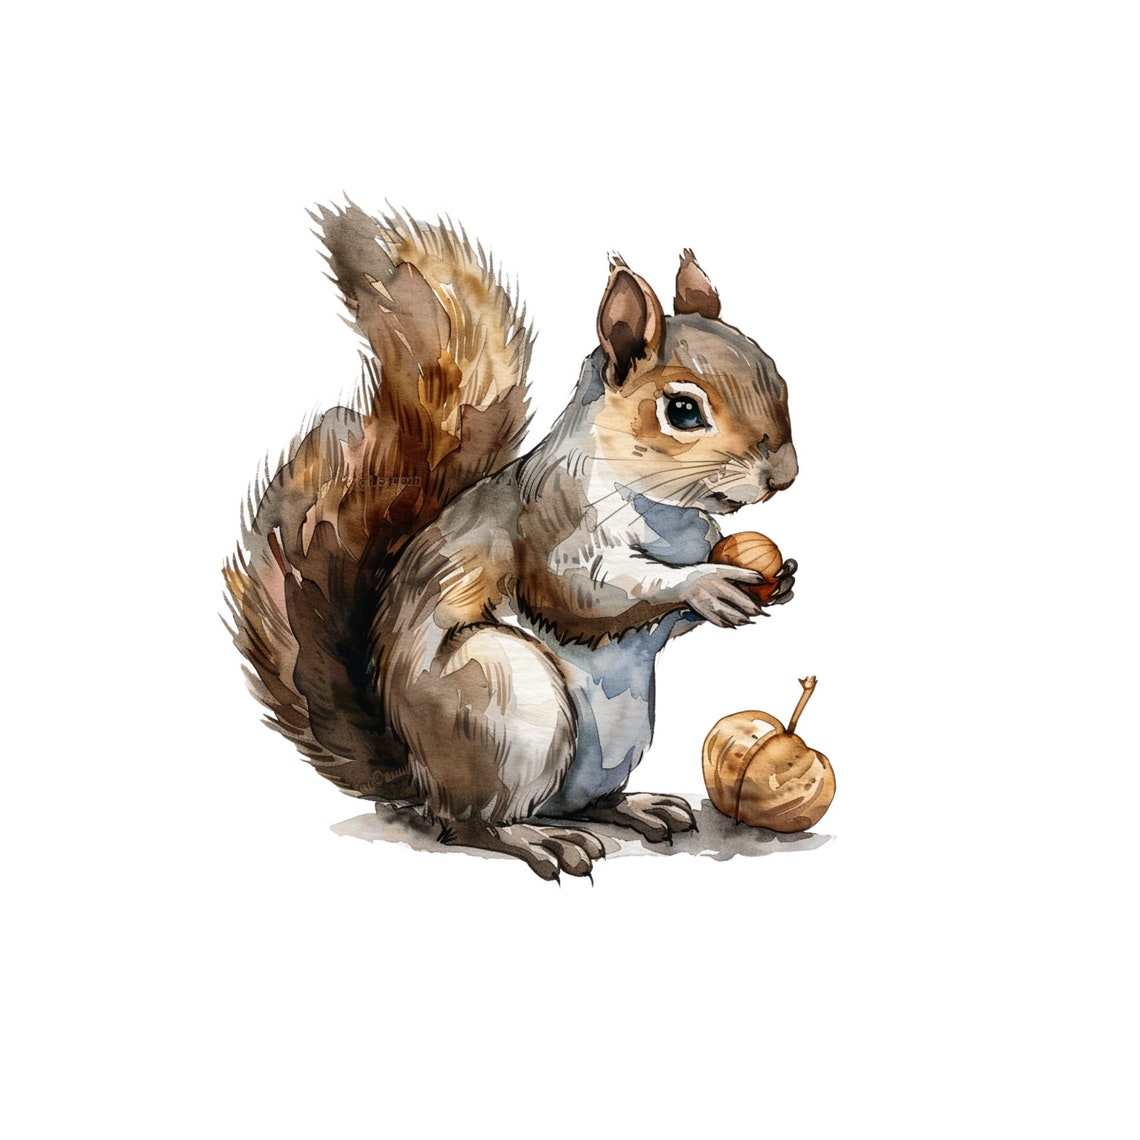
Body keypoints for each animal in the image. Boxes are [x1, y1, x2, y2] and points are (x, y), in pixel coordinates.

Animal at [224, 202, 799, 880]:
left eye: (775, 374)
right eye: (683, 411)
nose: (783, 475)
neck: (670, 511)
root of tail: (420, 778)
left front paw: (774, 584)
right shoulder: (551, 526)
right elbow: (583, 593)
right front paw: (705, 585)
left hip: (620, 737)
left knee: (580, 801)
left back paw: (637, 807)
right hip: (506, 702)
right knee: (471, 824)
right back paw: (537, 840)